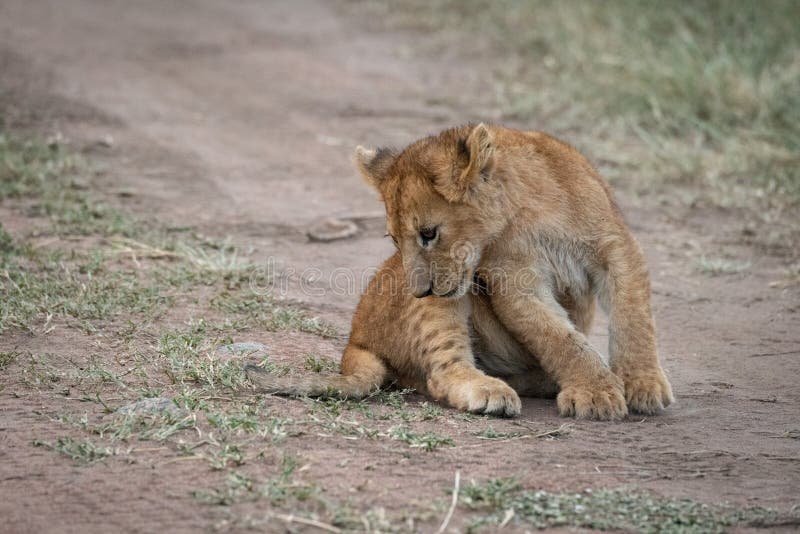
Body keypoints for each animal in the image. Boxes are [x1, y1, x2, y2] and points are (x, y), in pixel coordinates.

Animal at [246, 124, 673, 420]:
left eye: (428, 234)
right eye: (393, 239)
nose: (420, 291)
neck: (528, 211)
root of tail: (355, 339)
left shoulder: (616, 247)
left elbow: (634, 319)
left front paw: (641, 385)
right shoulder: (512, 280)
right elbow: (559, 339)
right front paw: (596, 393)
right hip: (435, 299)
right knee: (440, 373)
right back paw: (491, 390)